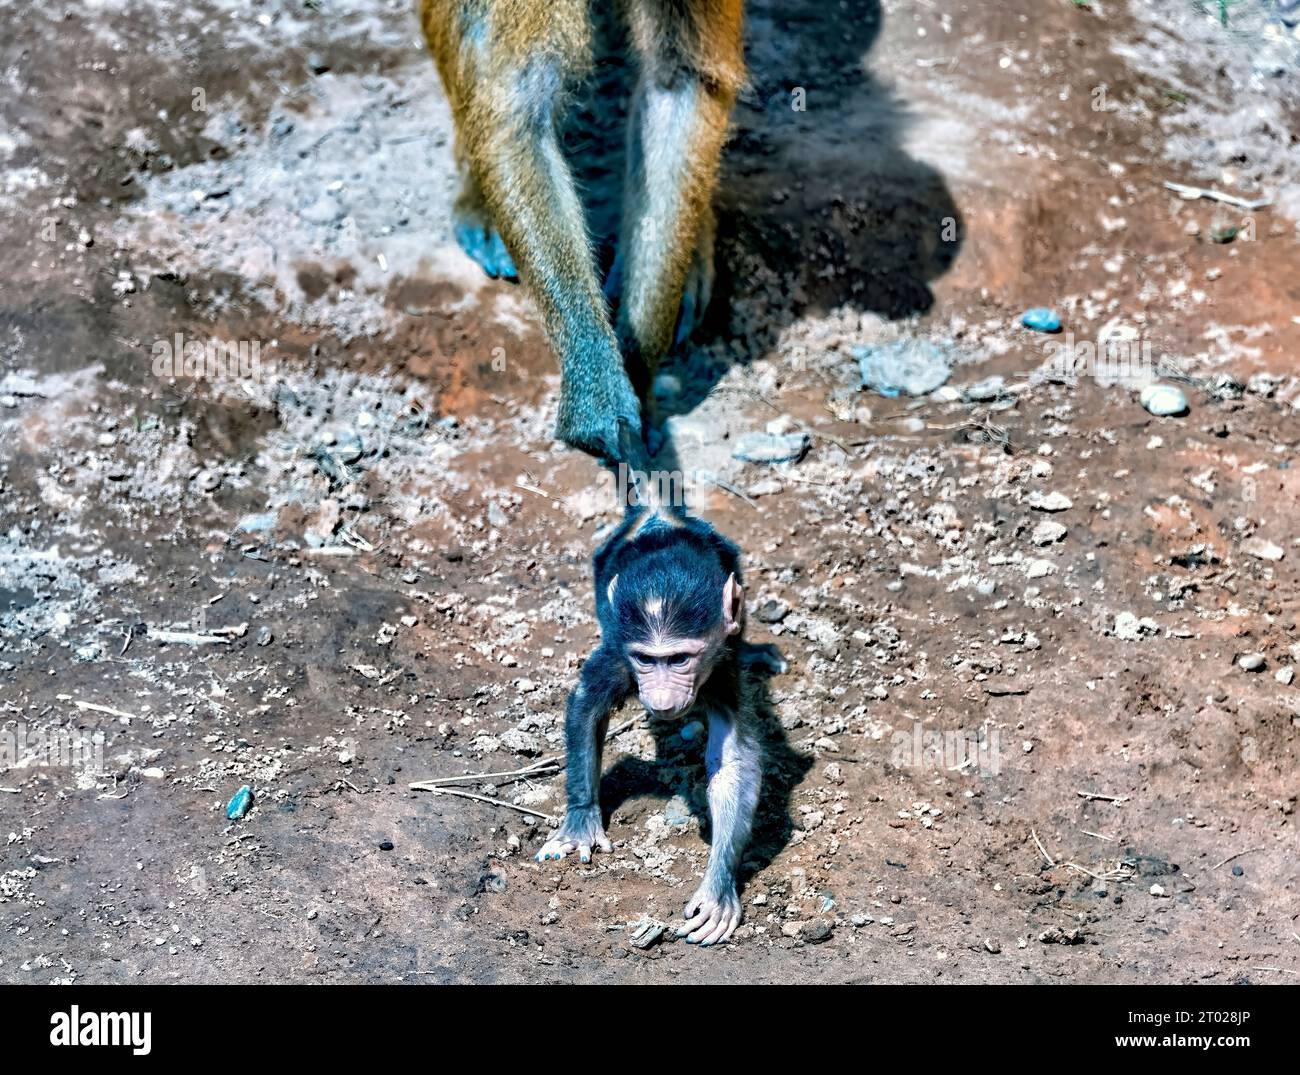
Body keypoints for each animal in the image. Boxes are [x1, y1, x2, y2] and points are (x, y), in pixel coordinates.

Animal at [534, 483, 766, 946]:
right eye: (647, 659)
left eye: (679, 659)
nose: (658, 698)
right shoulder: (621, 652)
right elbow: (585, 704)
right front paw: (581, 821)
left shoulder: (721, 668)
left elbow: (733, 760)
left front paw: (717, 889)